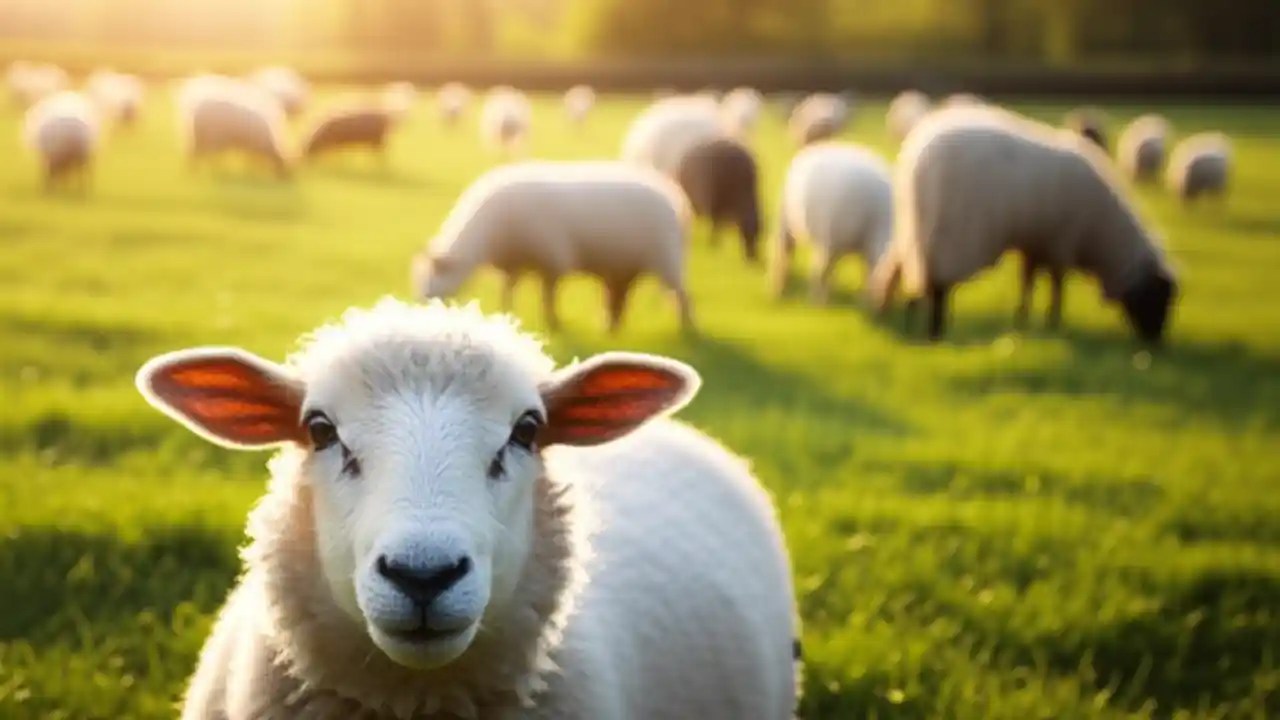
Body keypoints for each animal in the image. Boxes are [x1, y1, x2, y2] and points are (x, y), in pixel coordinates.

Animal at [413, 161, 694, 334]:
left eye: (432, 283)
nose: (422, 316)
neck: (486, 234)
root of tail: (673, 197)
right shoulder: (515, 263)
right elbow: (508, 290)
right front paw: (505, 313)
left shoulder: (552, 259)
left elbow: (548, 296)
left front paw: (553, 324)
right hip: (623, 266)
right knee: (618, 296)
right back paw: (609, 328)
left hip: (667, 256)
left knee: (682, 293)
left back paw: (688, 328)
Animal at [773, 142, 894, 305]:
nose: (883, 305)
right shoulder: (830, 243)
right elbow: (821, 271)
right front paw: (819, 301)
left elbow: (866, 273)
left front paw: (863, 300)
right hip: (786, 221)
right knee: (783, 253)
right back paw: (779, 289)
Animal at [870, 107, 1177, 343]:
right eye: (1157, 298)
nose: (1155, 343)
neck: (1102, 233)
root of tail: (916, 156)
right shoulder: (1061, 242)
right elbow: (1057, 285)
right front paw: (1054, 322)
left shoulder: (1036, 242)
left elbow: (1027, 280)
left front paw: (1023, 317)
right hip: (950, 235)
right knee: (936, 288)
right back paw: (935, 333)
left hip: (916, 230)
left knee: (908, 276)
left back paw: (907, 320)